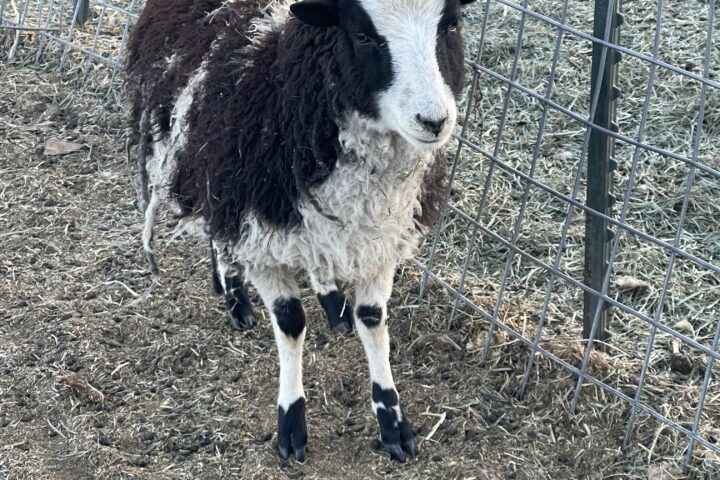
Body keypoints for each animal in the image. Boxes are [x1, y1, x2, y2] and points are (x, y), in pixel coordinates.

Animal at [125, 0, 475, 462]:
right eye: (362, 35)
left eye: (450, 24)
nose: (433, 121)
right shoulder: (256, 227)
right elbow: (291, 323)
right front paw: (291, 422)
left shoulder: (381, 235)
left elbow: (373, 320)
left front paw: (393, 422)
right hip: (208, 165)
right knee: (219, 230)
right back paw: (233, 295)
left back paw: (331, 303)